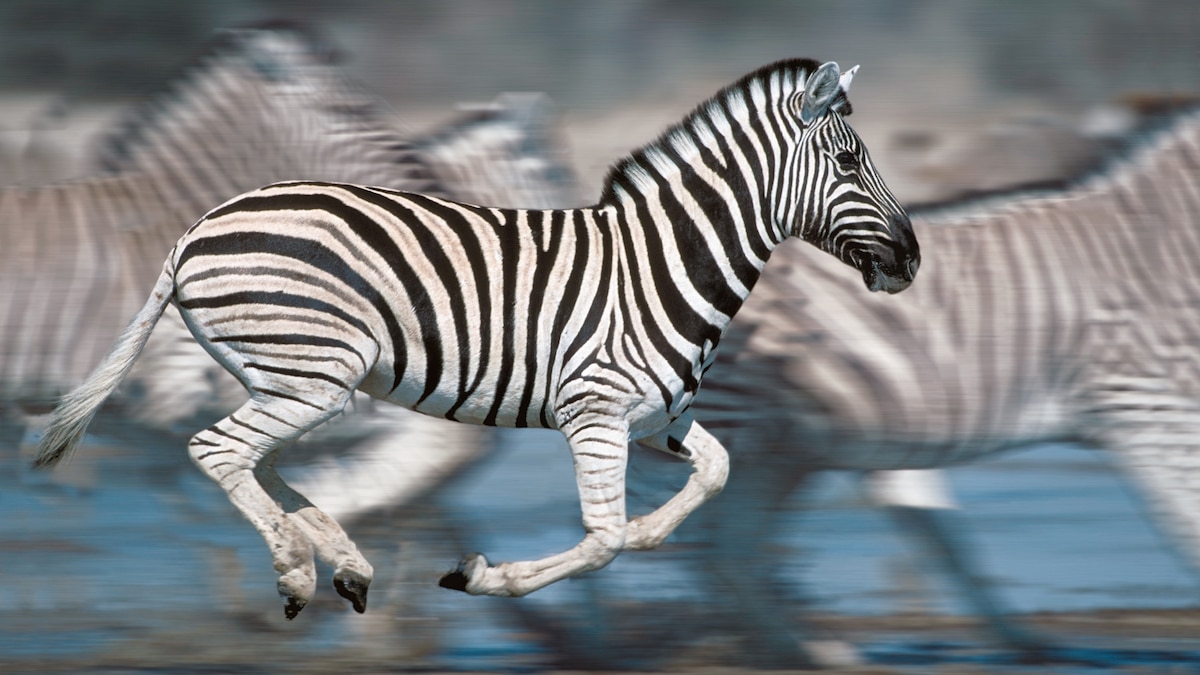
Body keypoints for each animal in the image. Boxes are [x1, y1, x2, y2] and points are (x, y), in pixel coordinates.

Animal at [34, 59, 919, 618]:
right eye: (849, 163)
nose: (912, 260)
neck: (662, 262)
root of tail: (196, 227)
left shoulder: (659, 418)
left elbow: (714, 474)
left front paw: (649, 533)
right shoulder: (595, 413)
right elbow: (602, 541)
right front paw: (484, 575)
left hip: (297, 376)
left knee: (257, 458)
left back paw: (343, 561)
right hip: (315, 372)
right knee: (220, 450)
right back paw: (294, 571)